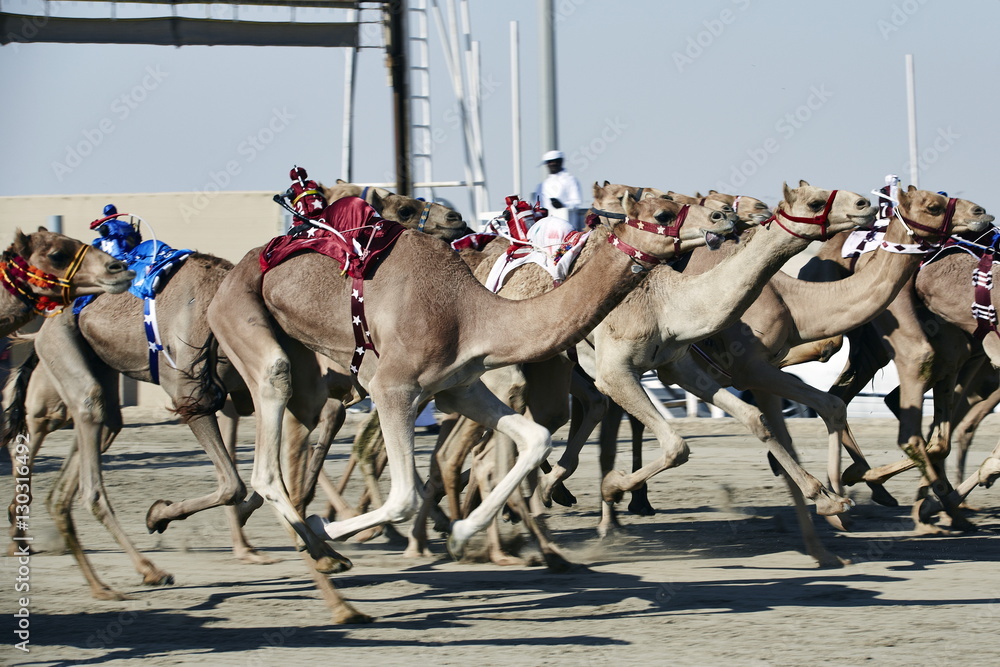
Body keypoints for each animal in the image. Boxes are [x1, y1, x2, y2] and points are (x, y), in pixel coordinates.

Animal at [206, 190, 735, 623]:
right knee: (269, 444)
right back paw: (320, 547)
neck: (470, 313)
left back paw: (322, 554)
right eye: (663, 212)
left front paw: (463, 535)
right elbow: (406, 494)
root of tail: (237, 267)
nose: (724, 215)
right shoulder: (393, 388)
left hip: (308, 371)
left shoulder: (458, 386)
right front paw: (333, 526)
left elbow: (534, 439)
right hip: (243, 322)